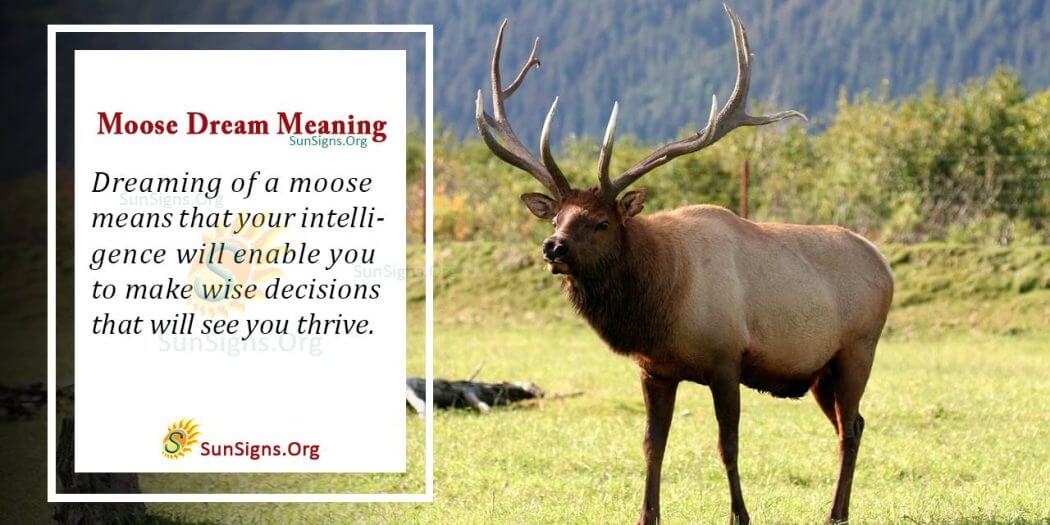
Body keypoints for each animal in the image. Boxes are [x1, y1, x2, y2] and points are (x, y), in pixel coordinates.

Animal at [475, 5, 894, 525]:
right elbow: (652, 446)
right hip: (821, 372)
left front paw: (740, 515)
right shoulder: (654, 369)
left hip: (858, 348)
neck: (661, 305)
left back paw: (836, 513)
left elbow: (728, 446)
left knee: (850, 428)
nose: (553, 247)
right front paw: (646, 515)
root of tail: (885, 264)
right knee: (853, 422)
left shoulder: (727, 360)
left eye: (601, 222)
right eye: (557, 216)